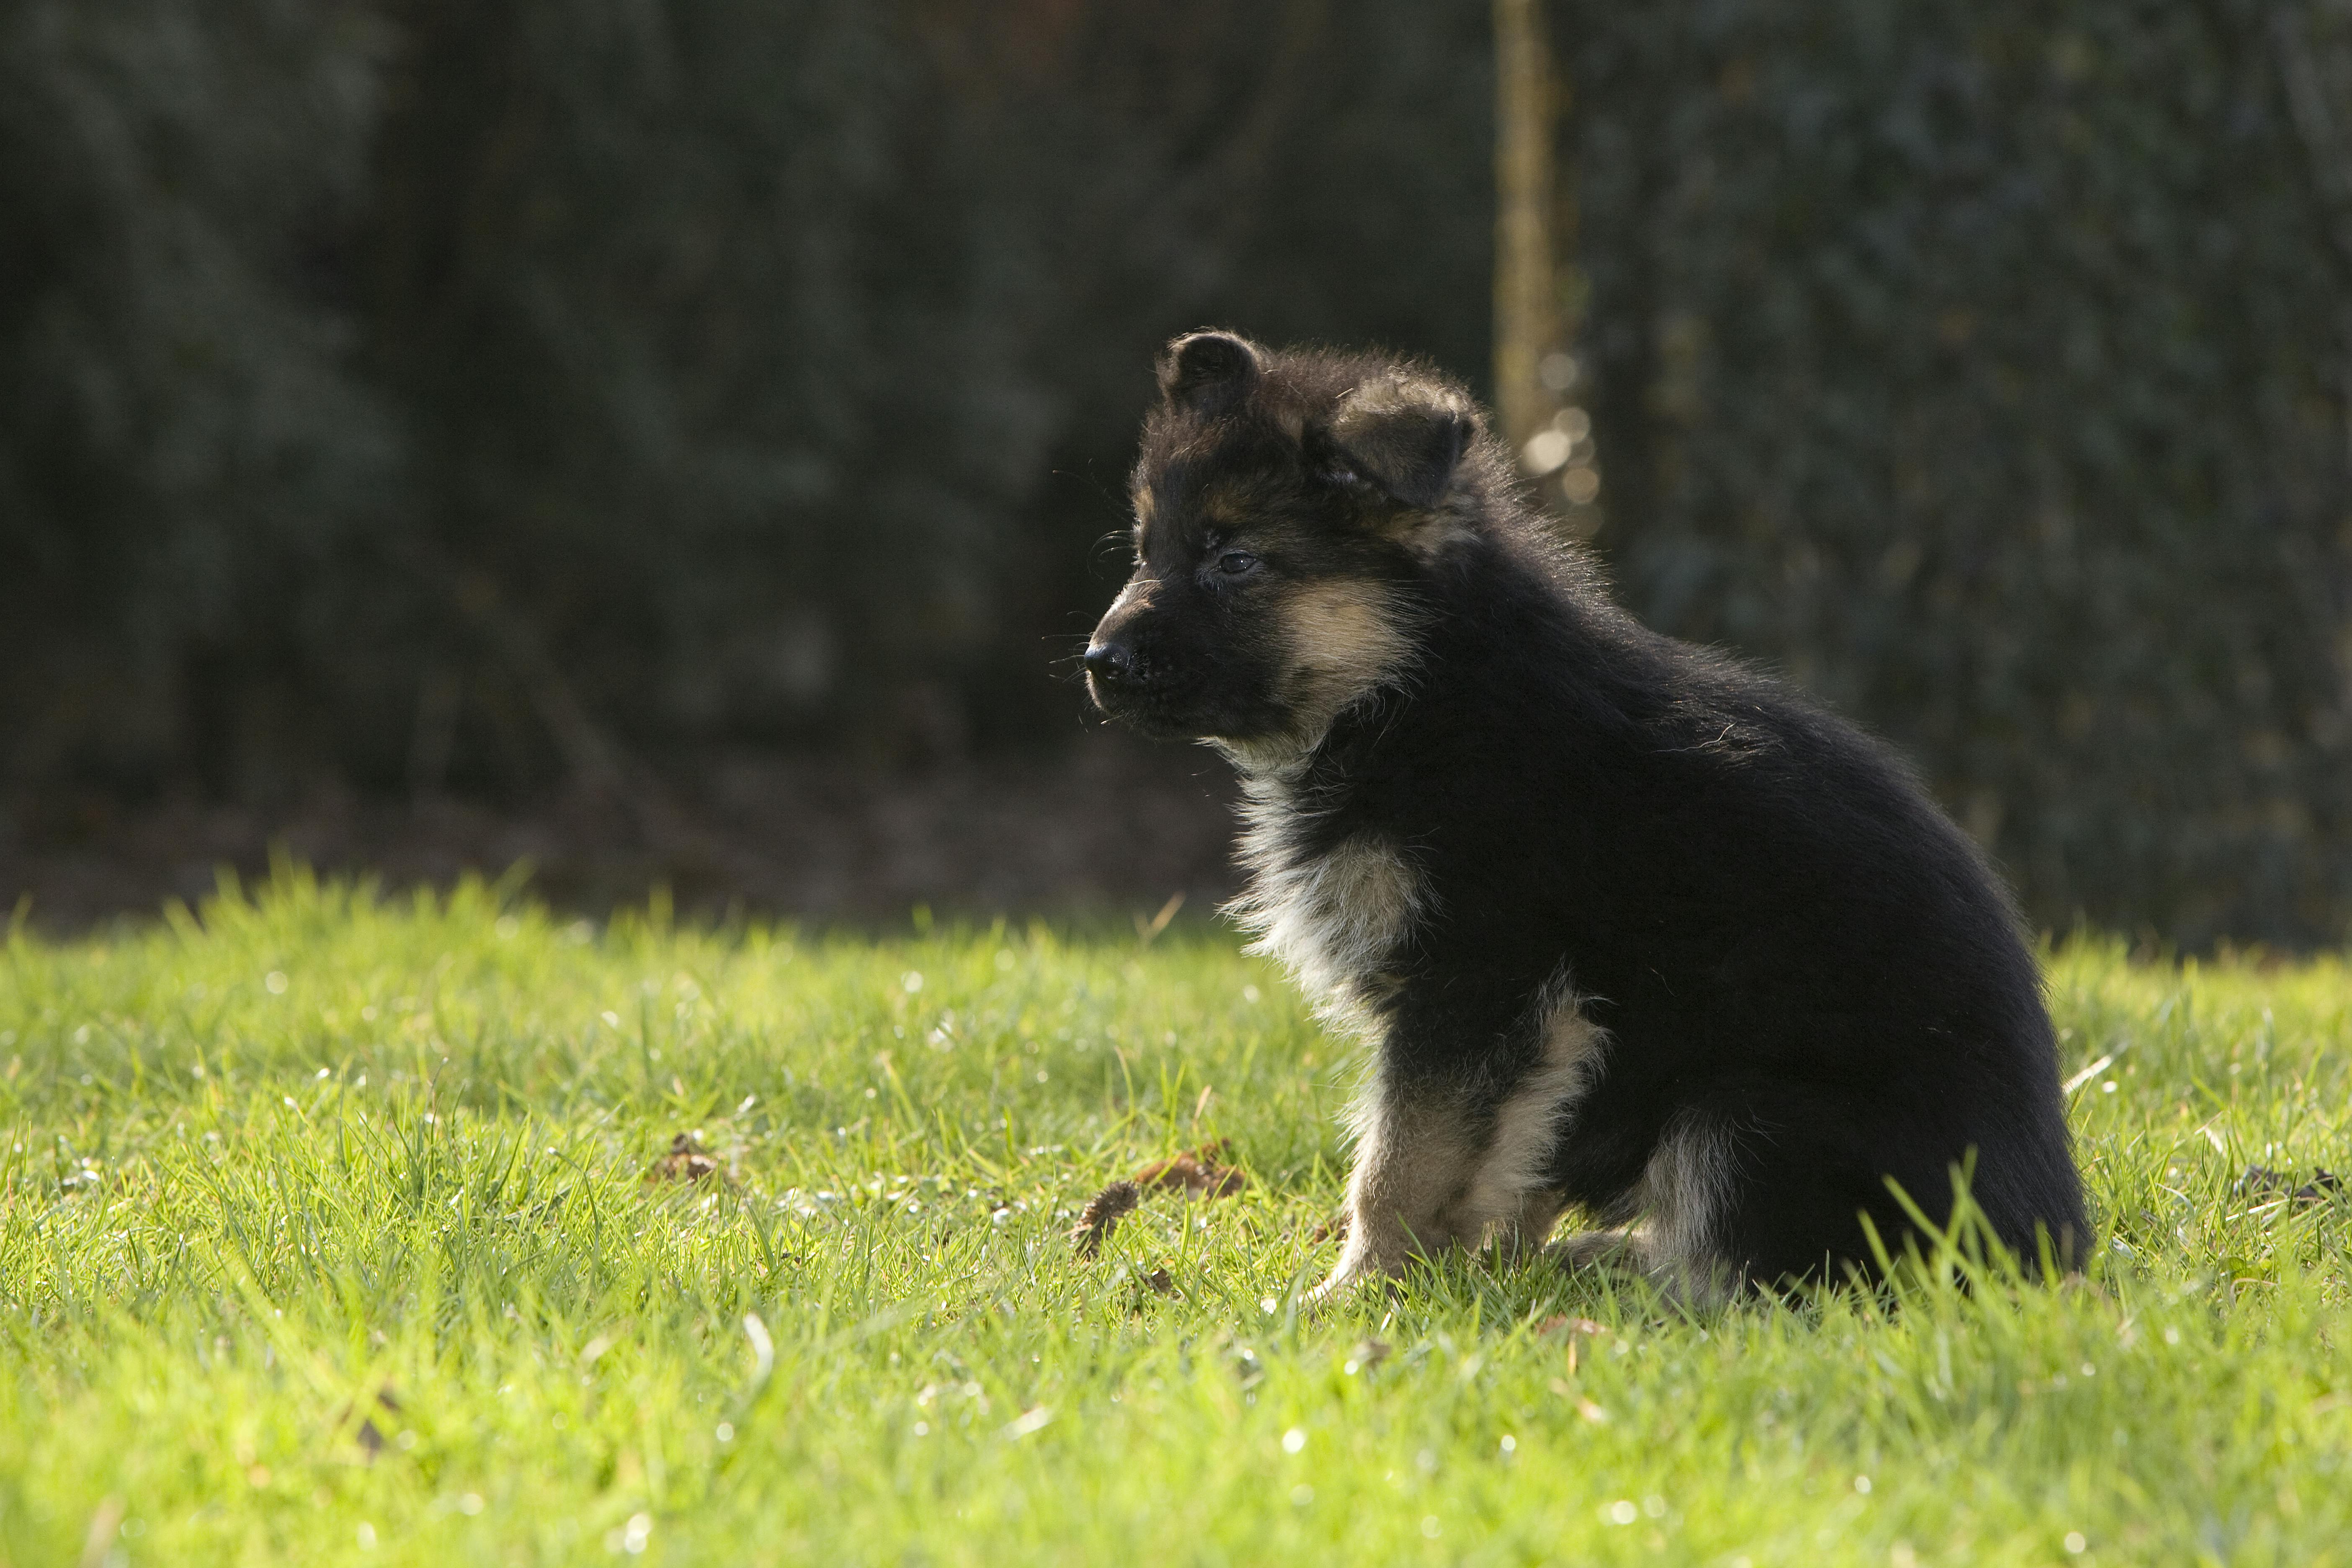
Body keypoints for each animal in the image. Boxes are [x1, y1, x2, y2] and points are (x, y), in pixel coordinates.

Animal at [1082, 331, 2079, 1297]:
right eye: (1145, 550)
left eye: (1234, 561)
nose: (1098, 662)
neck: (1413, 688)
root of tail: (2048, 1253)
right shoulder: (1530, 1032)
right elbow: (1513, 1156)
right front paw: (1476, 1272)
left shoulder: (1482, 983)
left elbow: (1401, 1163)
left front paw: (1359, 1293)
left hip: (1746, 1116)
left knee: (1776, 1281)